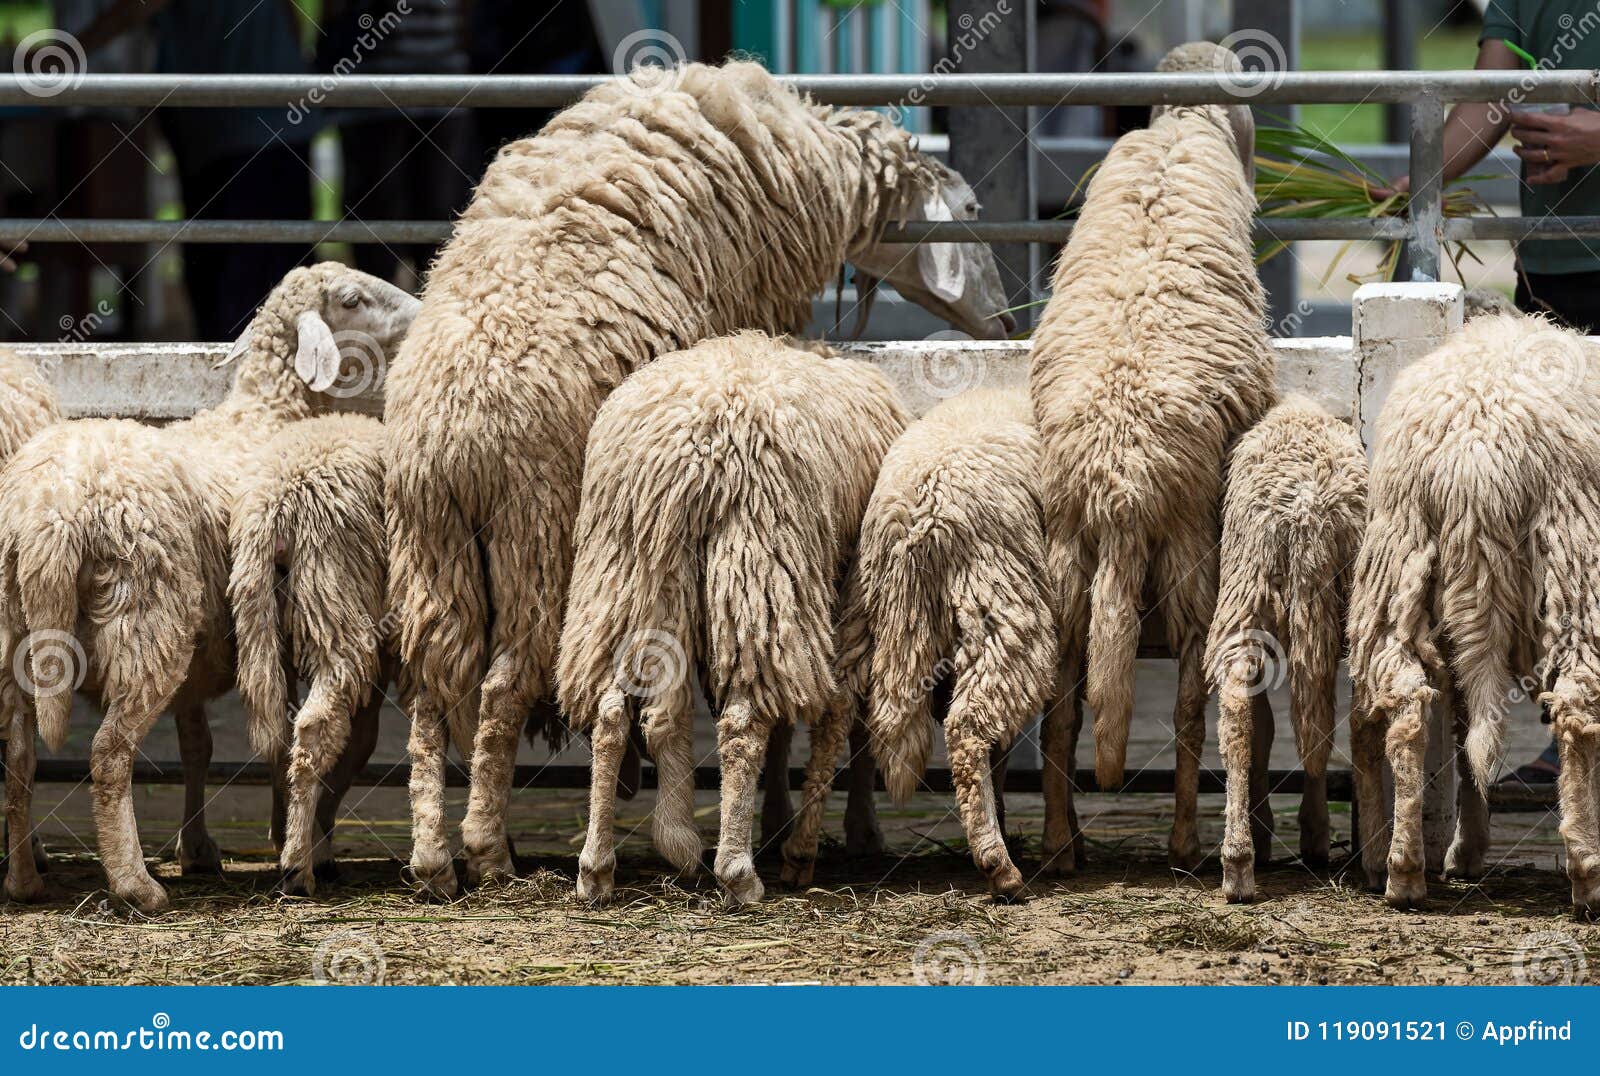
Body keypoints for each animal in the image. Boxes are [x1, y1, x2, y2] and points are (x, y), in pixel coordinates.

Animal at [228, 414, 390, 896]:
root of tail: (277, 510)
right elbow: (359, 742)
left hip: (260, 620)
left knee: (280, 735)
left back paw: (288, 842)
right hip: (337, 607)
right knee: (316, 729)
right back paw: (297, 867)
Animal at [557, 331, 907, 907]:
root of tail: (698, 443)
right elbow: (844, 724)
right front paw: (844, 831)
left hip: (629, 570)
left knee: (623, 715)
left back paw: (616, 861)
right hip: (758, 562)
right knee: (741, 725)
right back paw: (737, 871)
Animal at [1028, 41, 1276, 872]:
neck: (1180, 128)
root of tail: (1119, 488)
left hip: (1068, 569)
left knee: (1061, 710)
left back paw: (1059, 845)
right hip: (1191, 560)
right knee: (1193, 708)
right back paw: (1188, 843)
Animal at [1204, 395, 1368, 904]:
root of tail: (1305, 508)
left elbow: (1265, 728)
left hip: (1247, 584)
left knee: (1240, 710)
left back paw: (1238, 861)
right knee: (1313, 722)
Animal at [1348, 312, 1600, 916]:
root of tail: (1476, 459)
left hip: (1402, 562)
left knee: (1413, 710)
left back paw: (1406, 871)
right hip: (1576, 563)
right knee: (1577, 711)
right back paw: (1587, 875)